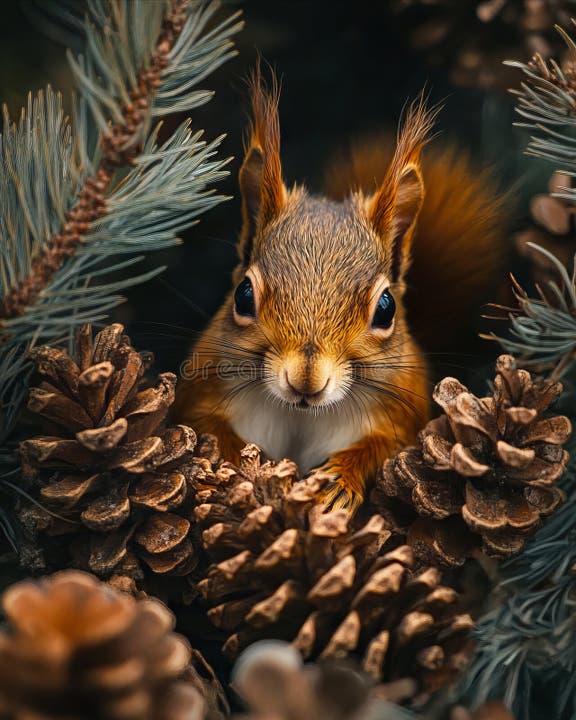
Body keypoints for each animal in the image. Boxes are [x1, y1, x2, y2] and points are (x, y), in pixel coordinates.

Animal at [173, 67, 508, 512]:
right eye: (243, 295)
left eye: (385, 309)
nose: (306, 382)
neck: (301, 416)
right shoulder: (200, 391)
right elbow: (205, 428)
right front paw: (233, 459)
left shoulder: (404, 416)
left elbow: (384, 448)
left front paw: (336, 480)